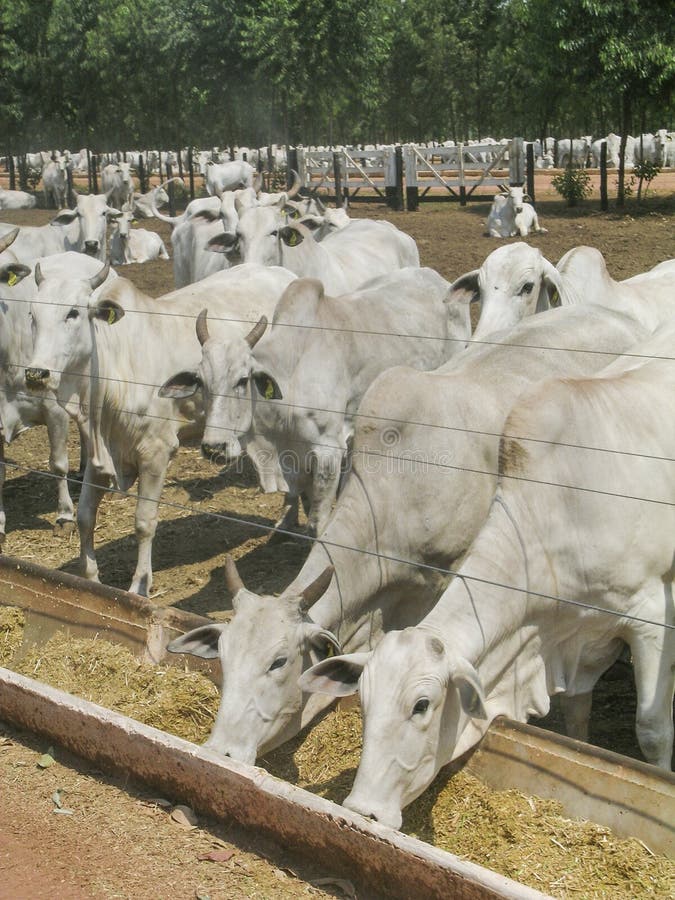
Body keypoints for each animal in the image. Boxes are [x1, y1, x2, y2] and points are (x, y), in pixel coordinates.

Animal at [24, 263, 297, 596]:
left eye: (73, 313)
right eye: (32, 314)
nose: (36, 373)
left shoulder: (155, 453)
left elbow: (144, 521)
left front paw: (139, 587)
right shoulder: (100, 455)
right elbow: (85, 516)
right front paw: (91, 578)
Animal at [160, 267, 471, 537]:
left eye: (243, 379)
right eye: (201, 381)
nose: (214, 448)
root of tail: (436, 279)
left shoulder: (327, 451)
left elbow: (317, 523)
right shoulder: (296, 459)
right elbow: (300, 496)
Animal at [300, 324, 675, 828]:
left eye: (421, 705)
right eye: (362, 700)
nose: (362, 810)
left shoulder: (649, 618)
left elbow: (653, 730)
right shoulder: (577, 636)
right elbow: (577, 714)